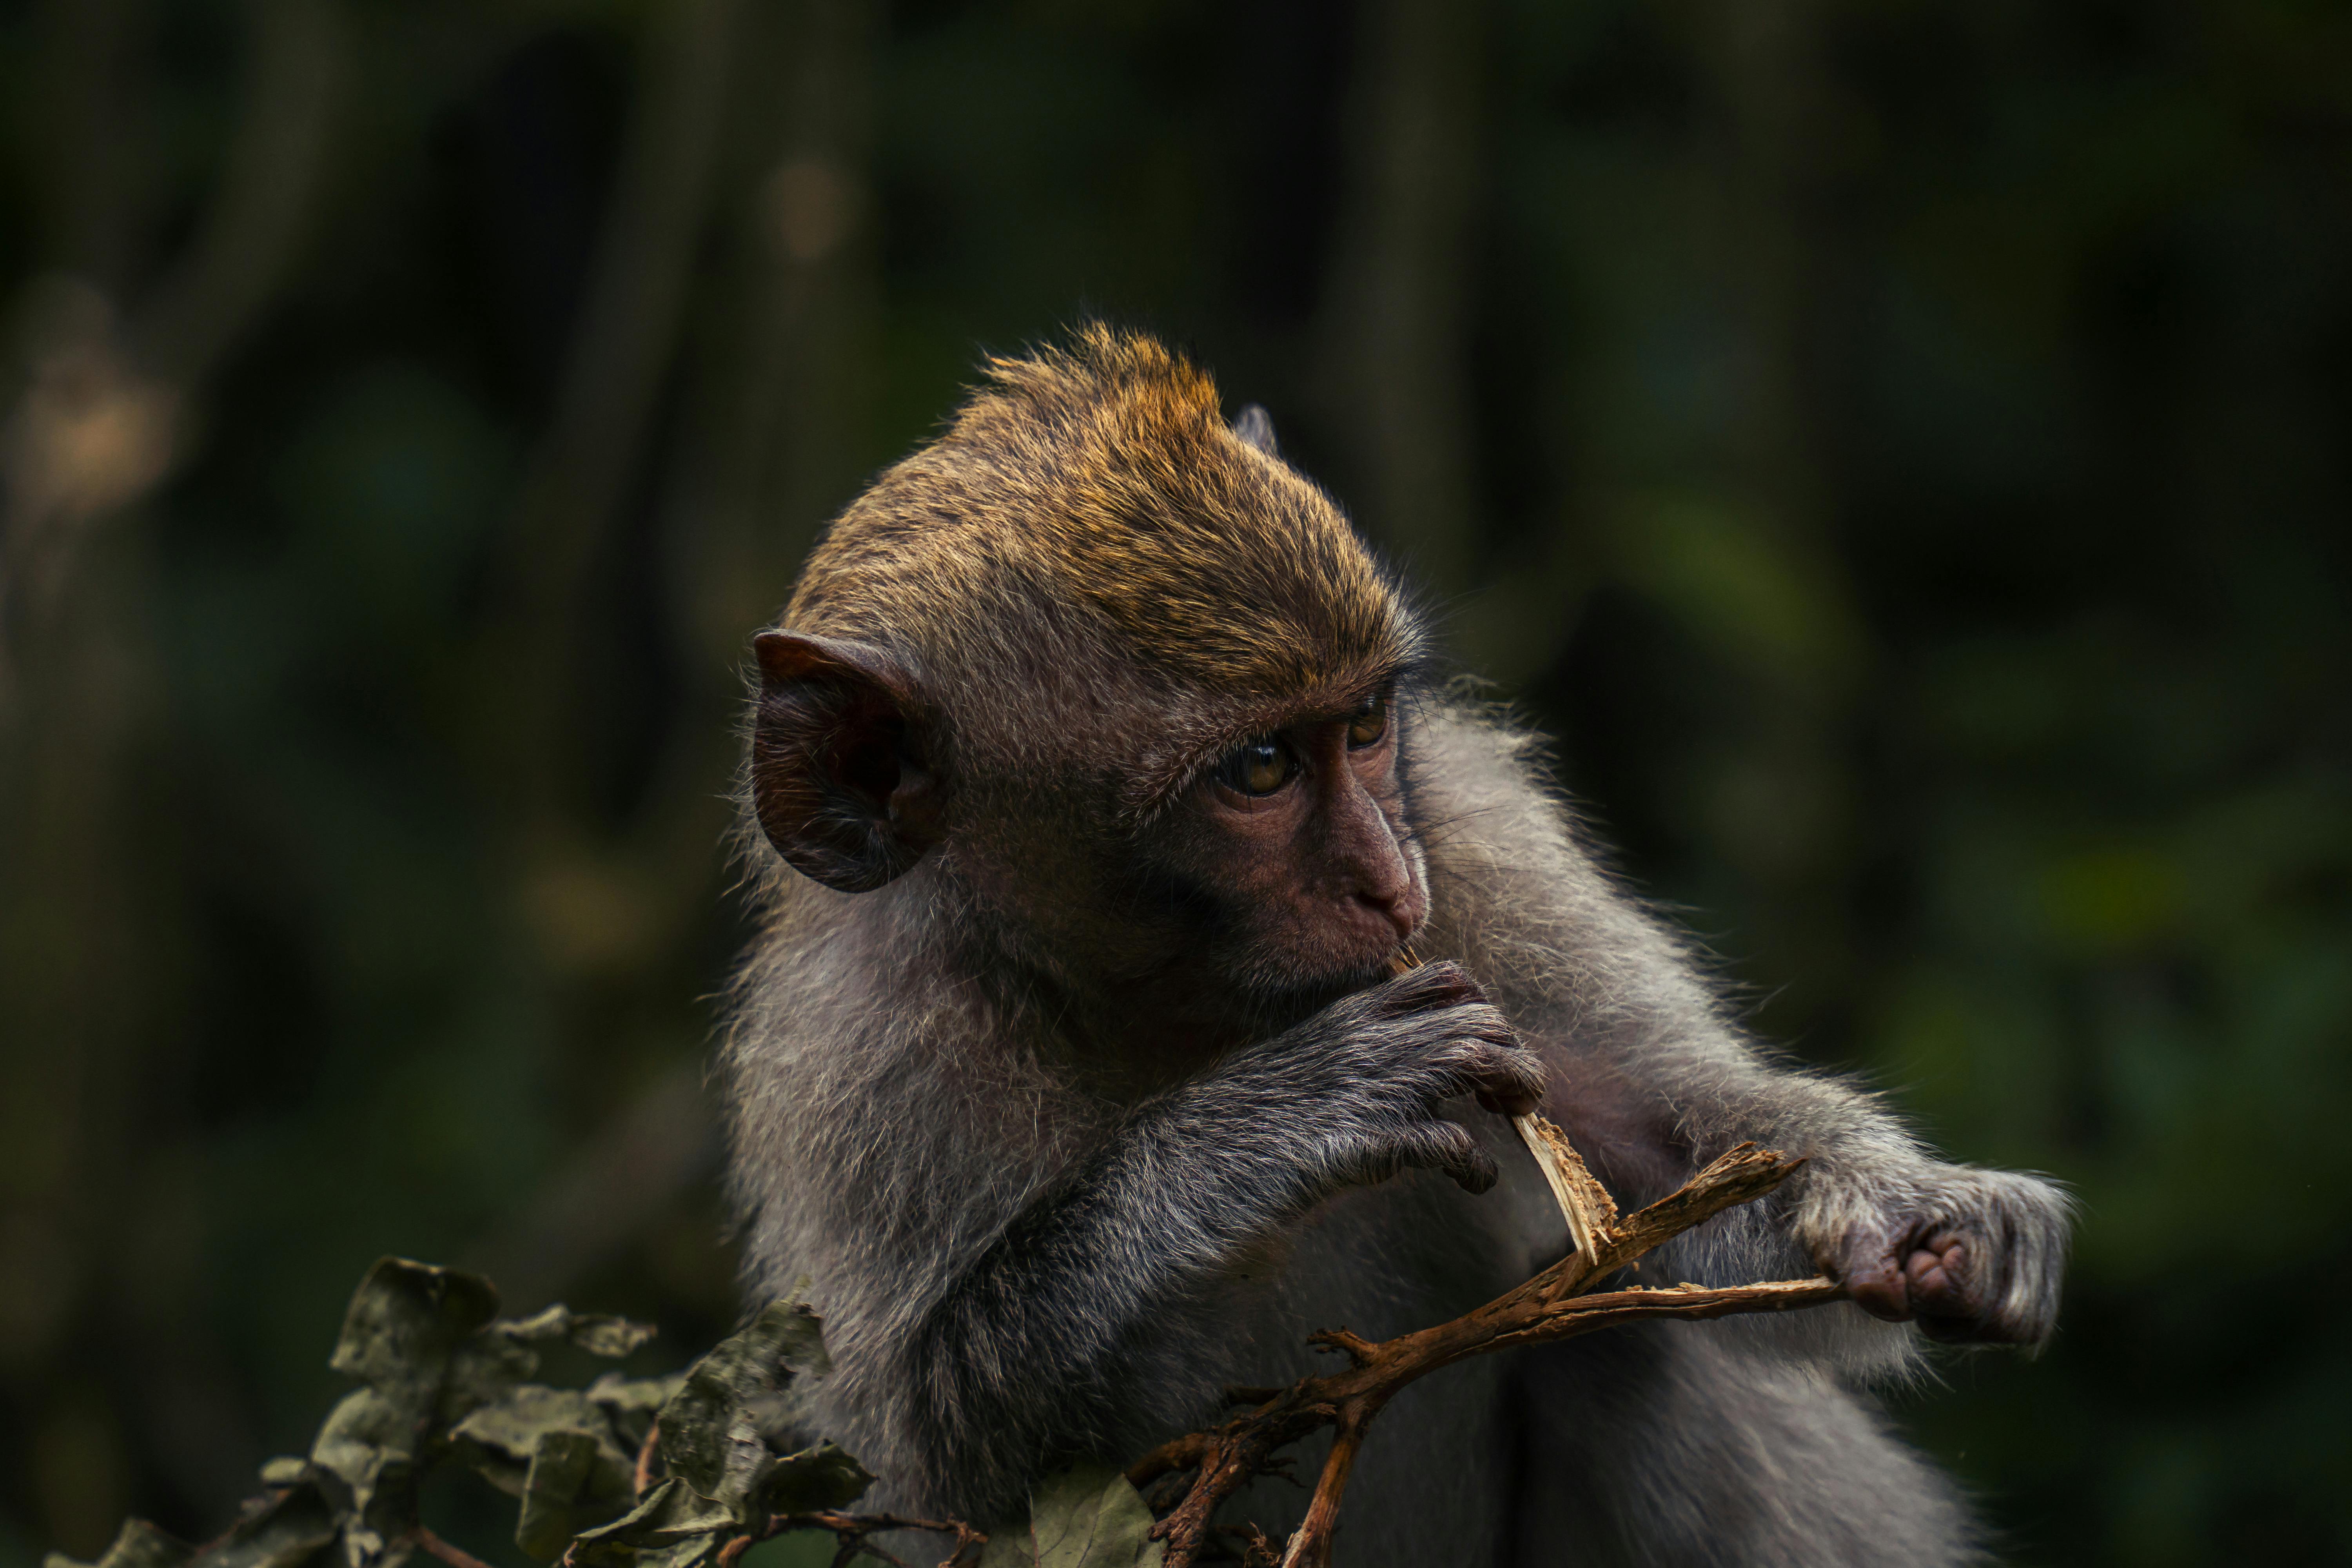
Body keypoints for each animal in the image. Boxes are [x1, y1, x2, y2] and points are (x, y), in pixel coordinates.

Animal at [718, 325, 2072, 1567]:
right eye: (1259, 769)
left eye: (1365, 726)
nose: (1386, 882)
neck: (1165, 997)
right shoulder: (860, 1051)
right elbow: (933, 1462)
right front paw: (1261, 1128)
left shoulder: (1476, 845)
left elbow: (1667, 1160)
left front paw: (1911, 1217)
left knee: (1619, 1342)